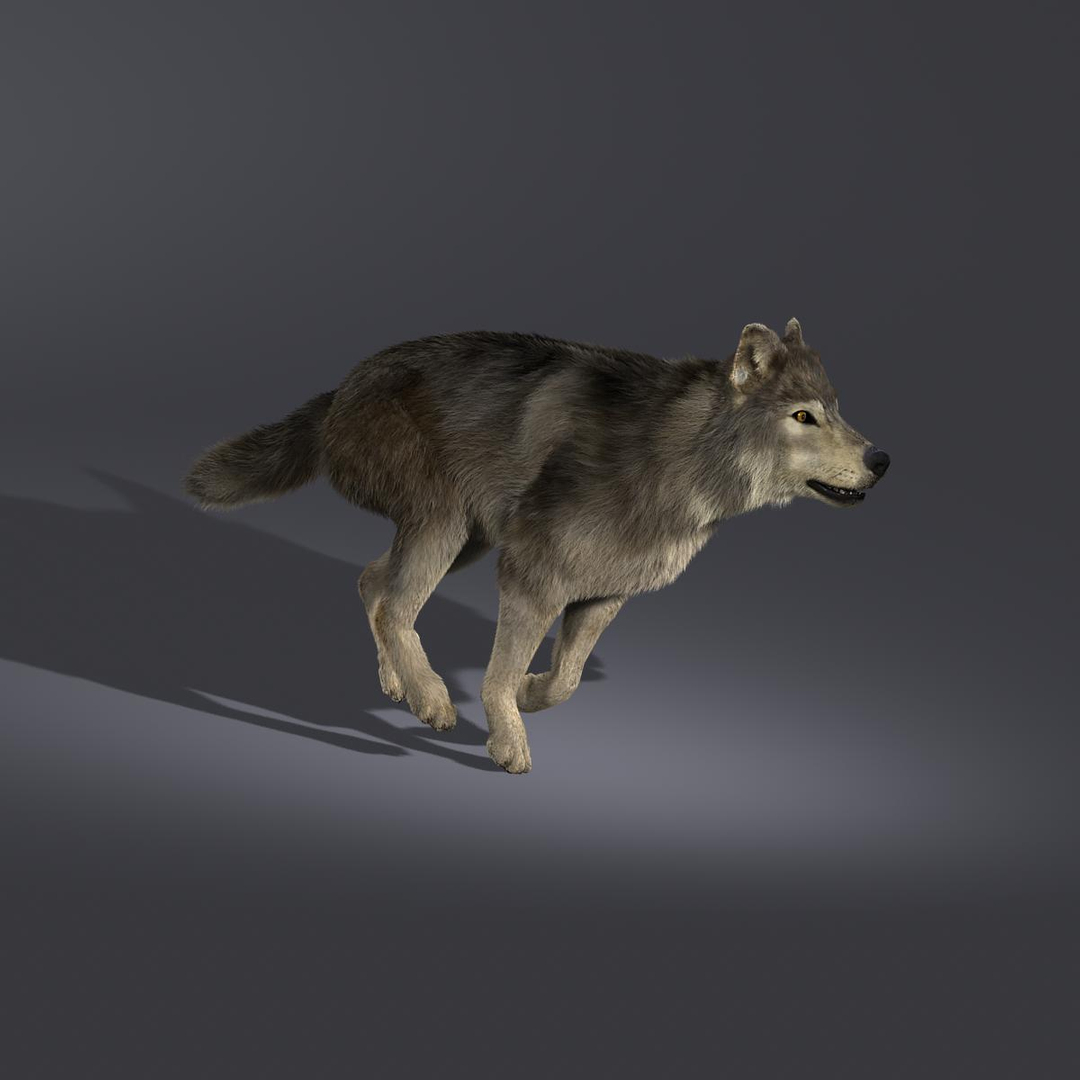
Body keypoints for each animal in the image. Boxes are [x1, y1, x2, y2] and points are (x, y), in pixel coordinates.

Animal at [184, 318, 889, 773]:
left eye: (836, 407)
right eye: (804, 416)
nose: (882, 460)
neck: (679, 453)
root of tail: (342, 386)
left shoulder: (601, 596)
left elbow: (567, 681)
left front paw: (528, 692)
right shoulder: (531, 577)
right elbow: (497, 675)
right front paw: (507, 742)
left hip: (463, 538)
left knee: (373, 584)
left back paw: (397, 684)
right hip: (445, 524)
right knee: (395, 606)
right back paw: (432, 698)